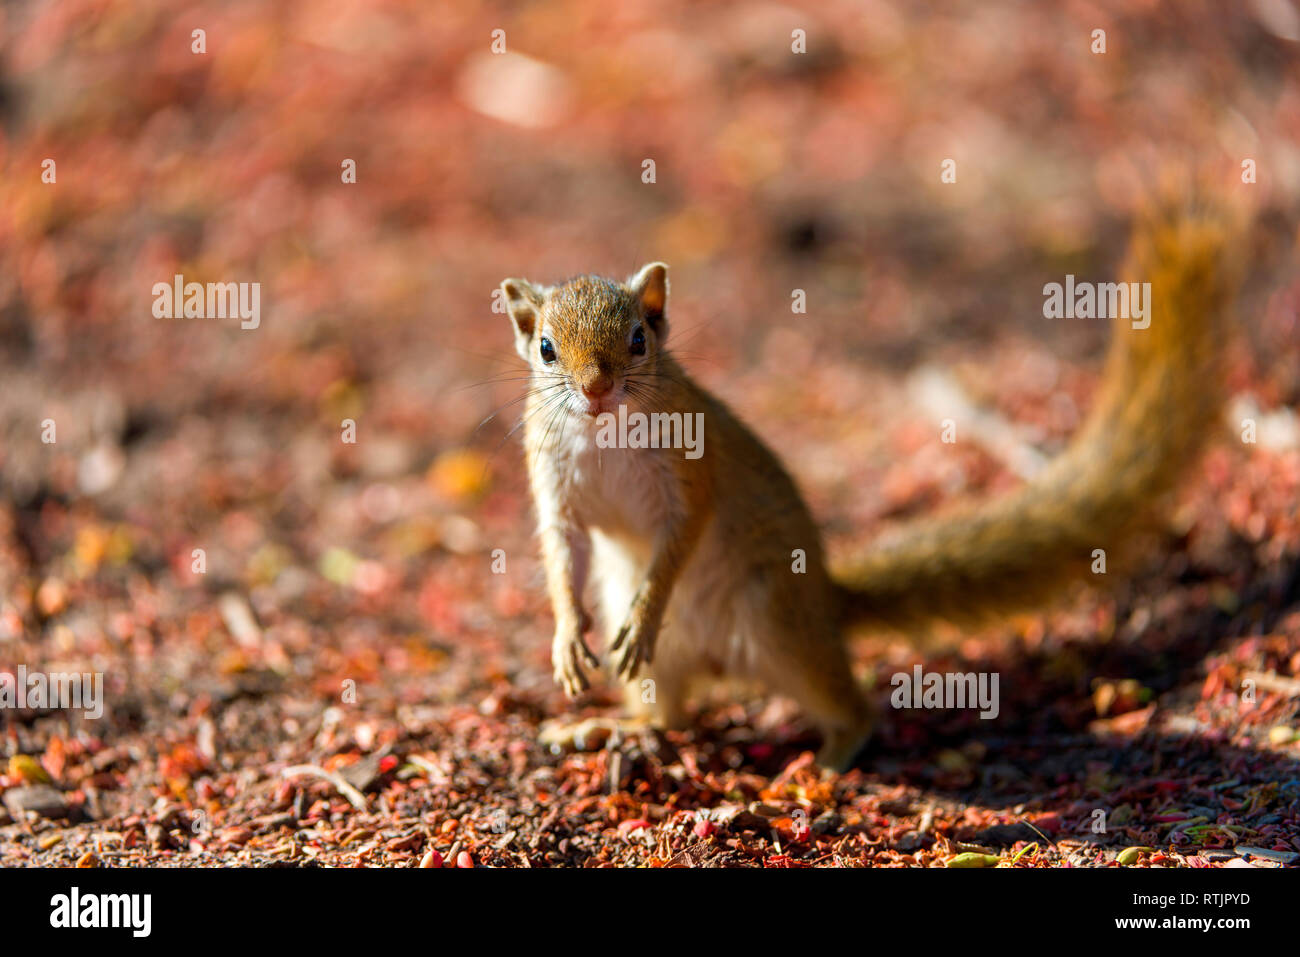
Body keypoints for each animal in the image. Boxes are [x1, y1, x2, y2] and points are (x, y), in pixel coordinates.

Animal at [499, 206, 1237, 771]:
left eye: (639, 339)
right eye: (546, 348)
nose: (597, 390)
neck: (603, 434)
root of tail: (828, 600)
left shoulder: (688, 473)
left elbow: (683, 534)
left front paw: (645, 613)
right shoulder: (555, 490)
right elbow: (562, 555)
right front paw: (567, 642)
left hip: (780, 624)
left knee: (850, 706)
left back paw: (824, 763)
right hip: (674, 664)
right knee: (669, 714)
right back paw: (612, 727)